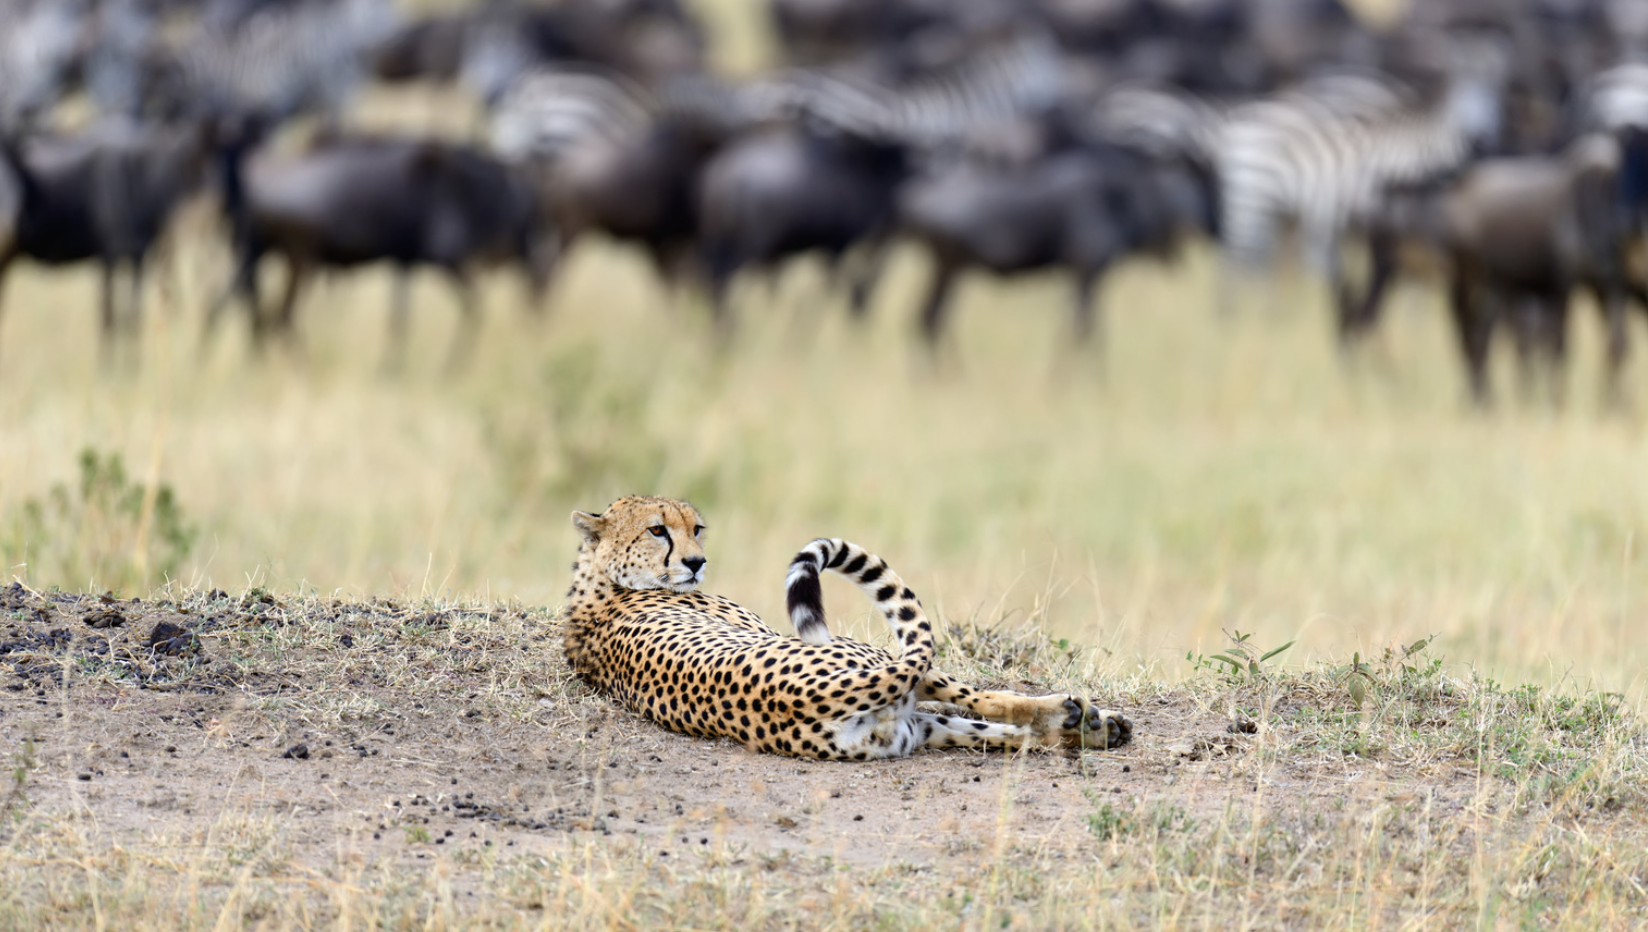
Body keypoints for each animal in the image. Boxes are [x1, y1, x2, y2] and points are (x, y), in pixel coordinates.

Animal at [559, 495, 1132, 760]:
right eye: (657, 530)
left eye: (695, 528)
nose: (697, 562)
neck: (599, 580)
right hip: (879, 664)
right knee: (989, 704)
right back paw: (1082, 718)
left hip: (908, 727)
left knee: (1004, 735)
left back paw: (1090, 730)